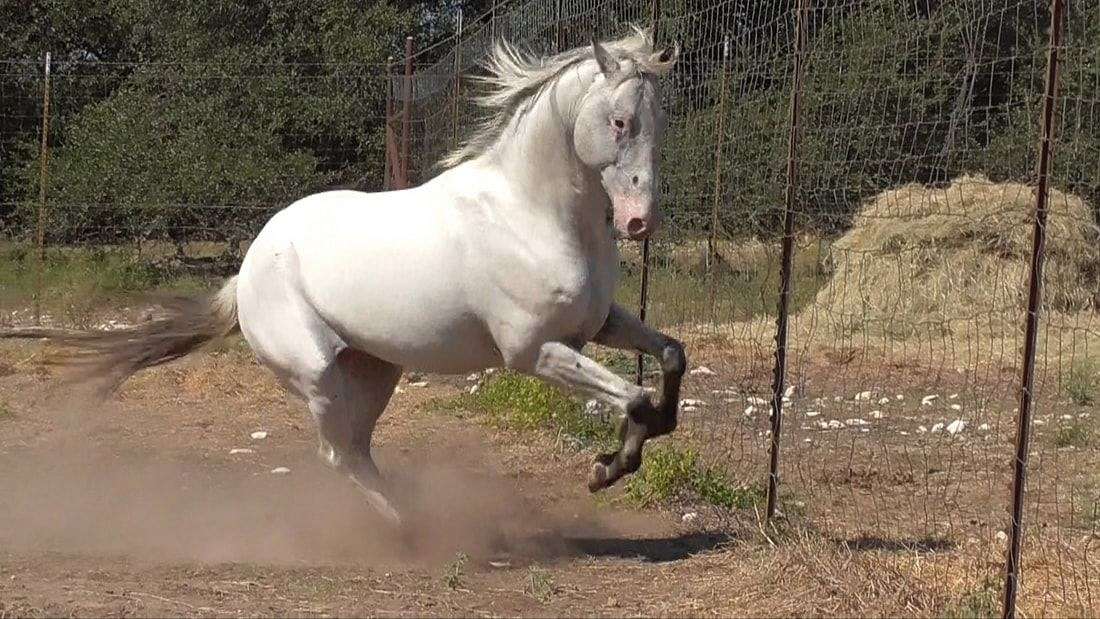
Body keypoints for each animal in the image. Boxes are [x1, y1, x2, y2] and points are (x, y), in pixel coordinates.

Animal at [16, 28, 686, 526]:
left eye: (662, 121)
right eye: (620, 122)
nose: (640, 220)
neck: (529, 214)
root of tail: (246, 270)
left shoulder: (597, 325)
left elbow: (670, 358)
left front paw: (627, 451)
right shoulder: (531, 351)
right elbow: (634, 396)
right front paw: (606, 469)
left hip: (374, 369)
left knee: (358, 451)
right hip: (315, 374)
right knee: (336, 455)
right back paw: (408, 532)